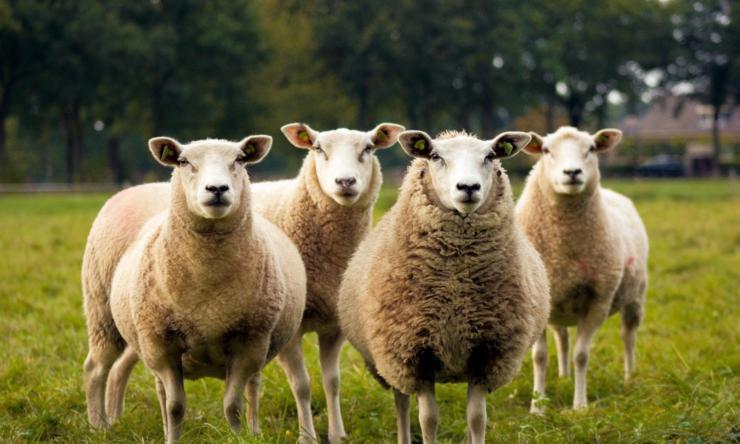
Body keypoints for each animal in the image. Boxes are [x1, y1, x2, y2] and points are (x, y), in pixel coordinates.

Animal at [83, 135, 307, 443]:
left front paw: (238, 436)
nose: (217, 189)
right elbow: (175, 406)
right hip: (103, 312)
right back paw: (99, 426)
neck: (208, 287)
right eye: (183, 161)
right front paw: (172, 438)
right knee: (97, 367)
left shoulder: (250, 342)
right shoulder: (161, 343)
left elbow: (232, 405)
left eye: (239, 159)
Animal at [249, 122, 405, 442]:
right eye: (318, 148)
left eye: (369, 148)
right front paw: (307, 436)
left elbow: (332, 381)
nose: (345, 181)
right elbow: (302, 385)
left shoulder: (335, 326)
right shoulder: (291, 329)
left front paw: (337, 434)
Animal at [337, 129, 550, 444]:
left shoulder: (486, 354)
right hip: (391, 360)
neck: (455, 285)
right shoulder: (415, 354)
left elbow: (477, 418)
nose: (469, 187)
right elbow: (428, 419)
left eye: (491, 156)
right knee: (401, 404)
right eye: (436, 156)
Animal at [515, 126, 649, 412]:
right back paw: (564, 377)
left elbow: (581, 355)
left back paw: (629, 377)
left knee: (628, 336)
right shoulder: (535, 303)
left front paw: (579, 406)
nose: (572, 173)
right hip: (557, 305)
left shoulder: (599, 302)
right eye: (546, 150)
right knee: (562, 337)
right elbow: (540, 357)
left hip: (635, 297)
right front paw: (537, 407)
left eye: (591, 148)